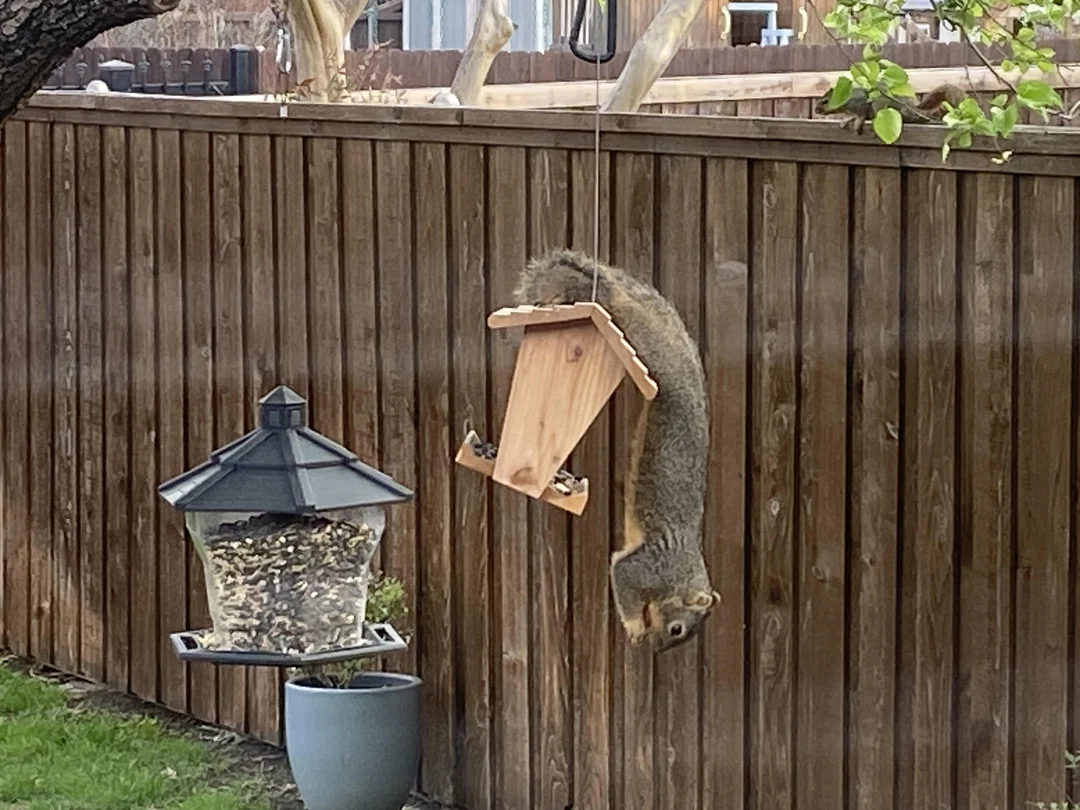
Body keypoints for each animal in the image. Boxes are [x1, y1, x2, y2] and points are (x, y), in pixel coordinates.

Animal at [514, 249, 720, 654]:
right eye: (677, 629)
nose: (656, 650)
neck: (683, 571)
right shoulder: (647, 565)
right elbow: (621, 573)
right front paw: (635, 627)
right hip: (647, 345)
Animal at [814, 83, 967, 134]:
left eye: (825, 101)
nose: (816, 110)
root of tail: (911, 108)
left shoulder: (860, 104)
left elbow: (860, 114)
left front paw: (856, 123)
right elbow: (849, 115)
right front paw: (844, 120)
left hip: (880, 106)